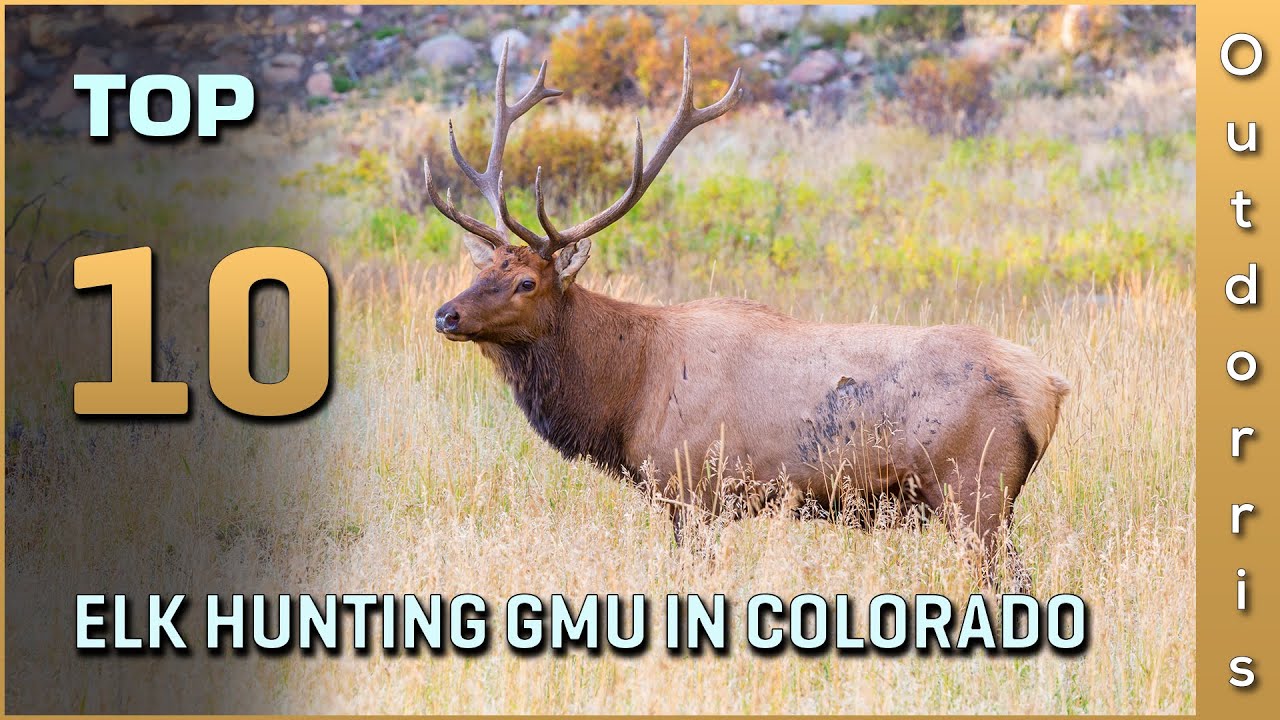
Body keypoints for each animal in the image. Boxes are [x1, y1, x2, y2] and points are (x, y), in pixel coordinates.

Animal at [424, 41, 1070, 591]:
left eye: (526, 282)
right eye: (484, 269)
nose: (446, 315)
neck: (626, 395)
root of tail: (1048, 387)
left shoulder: (693, 490)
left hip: (975, 493)